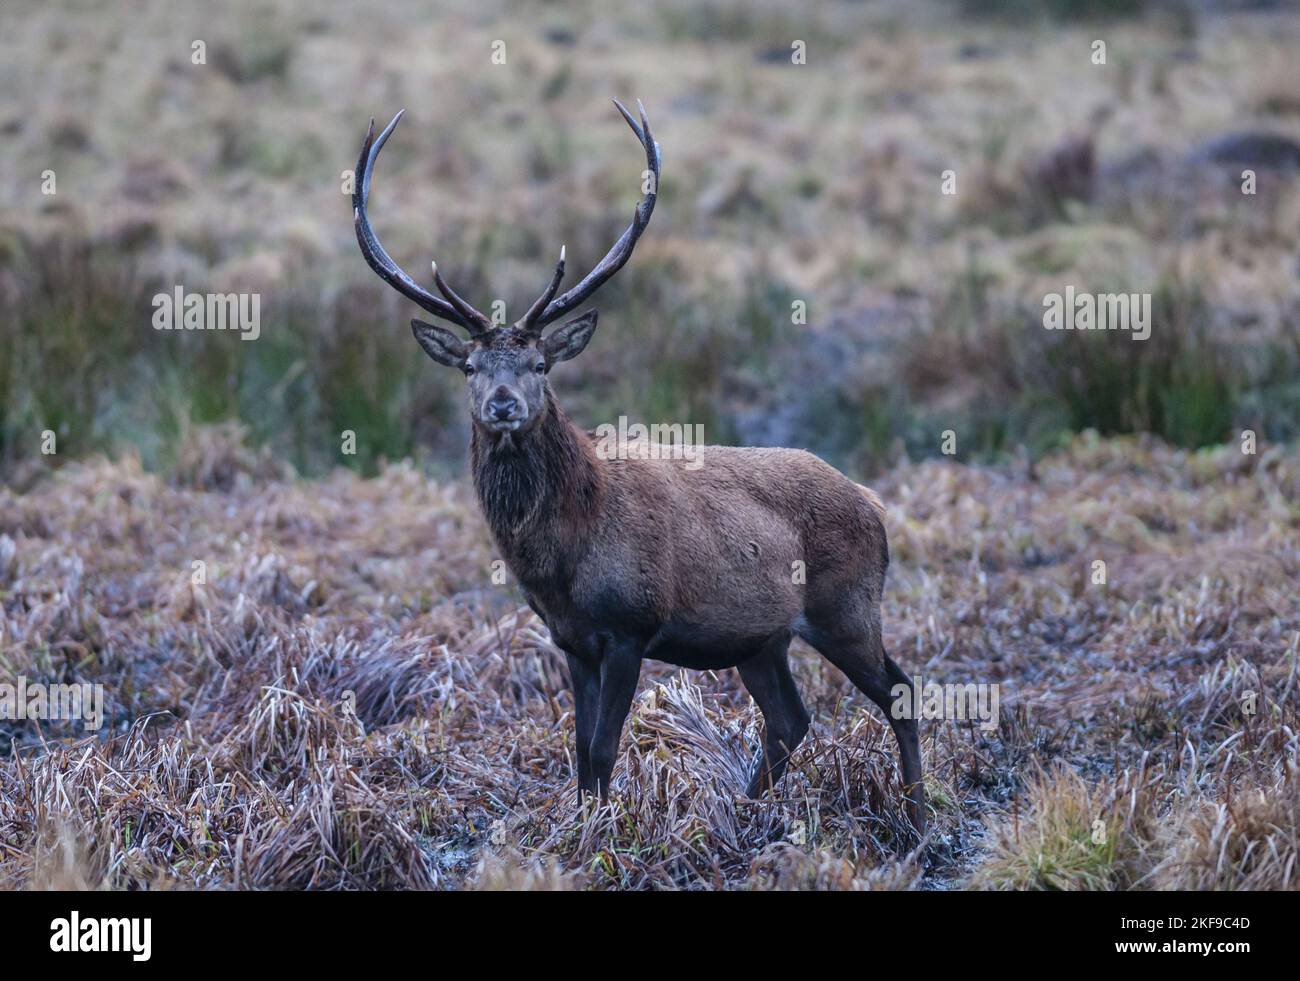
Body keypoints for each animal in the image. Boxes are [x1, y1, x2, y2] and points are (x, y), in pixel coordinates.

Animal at [352, 101, 926, 833]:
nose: (503, 404)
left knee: (900, 689)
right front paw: (578, 829)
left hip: (846, 606)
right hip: (761, 639)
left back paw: (920, 817)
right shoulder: (570, 640)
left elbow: (603, 747)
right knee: (791, 720)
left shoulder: (630, 625)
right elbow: (578, 751)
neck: (563, 557)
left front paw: (601, 835)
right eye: (471, 367)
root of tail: (875, 505)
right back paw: (741, 815)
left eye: (540, 363)